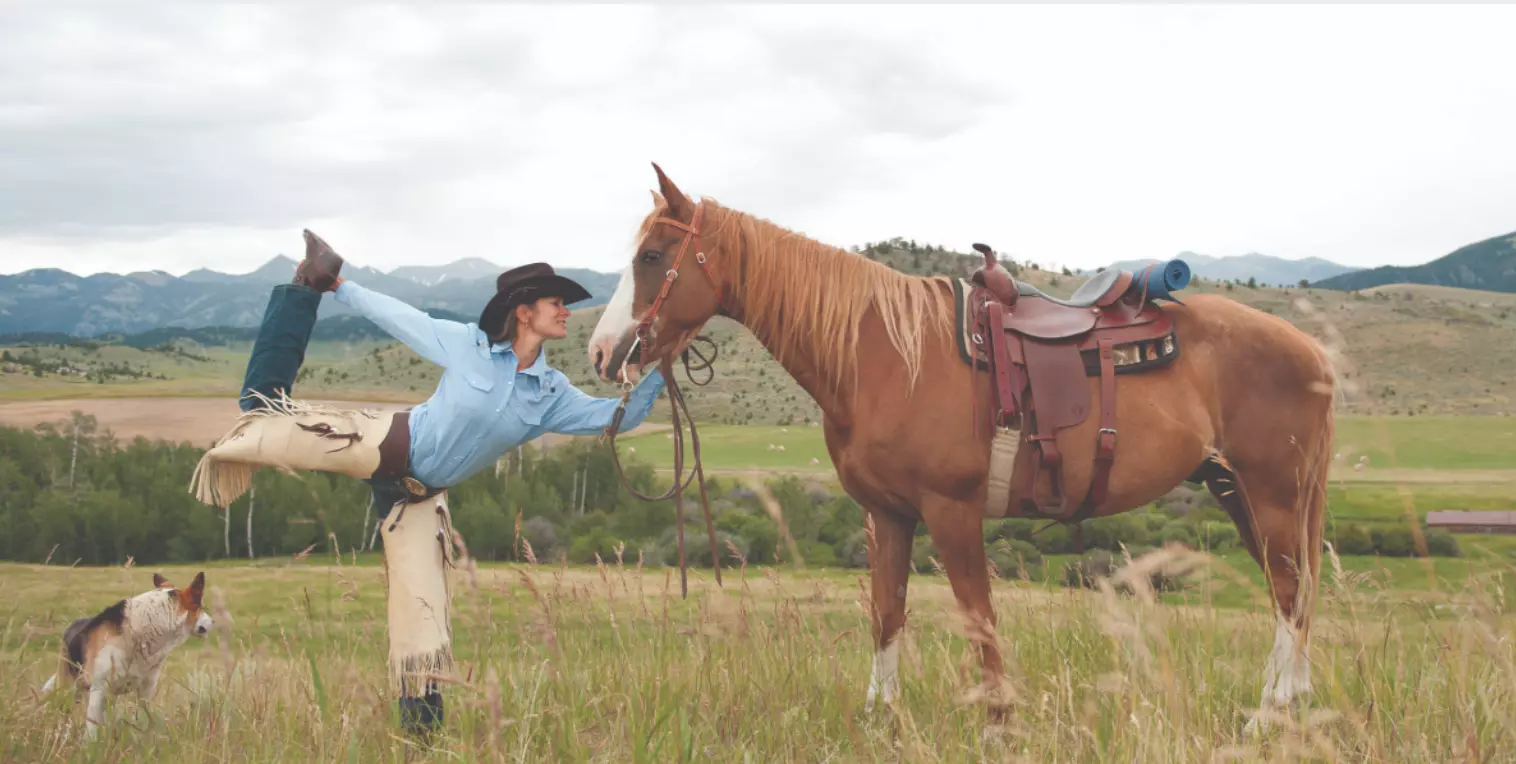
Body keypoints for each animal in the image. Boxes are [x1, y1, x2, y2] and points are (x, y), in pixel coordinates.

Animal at [41, 569, 213, 736]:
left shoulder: (145, 693)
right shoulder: (98, 690)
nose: (213, 621)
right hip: (69, 689)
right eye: (201, 607)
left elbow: (144, 723)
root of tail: (71, 626)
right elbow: (91, 733)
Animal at [585, 162, 1334, 727]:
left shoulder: (952, 510)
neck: (883, 355)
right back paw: (1287, 703)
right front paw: (881, 715)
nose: (600, 352)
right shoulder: (887, 515)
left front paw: (1000, 718)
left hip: (1271, 492)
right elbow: (887, 612)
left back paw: (1271, 713)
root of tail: (1310, 348)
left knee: (1289, 591)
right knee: (1289, 592)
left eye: (652, 256)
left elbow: (978, 616)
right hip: (1236, 490)